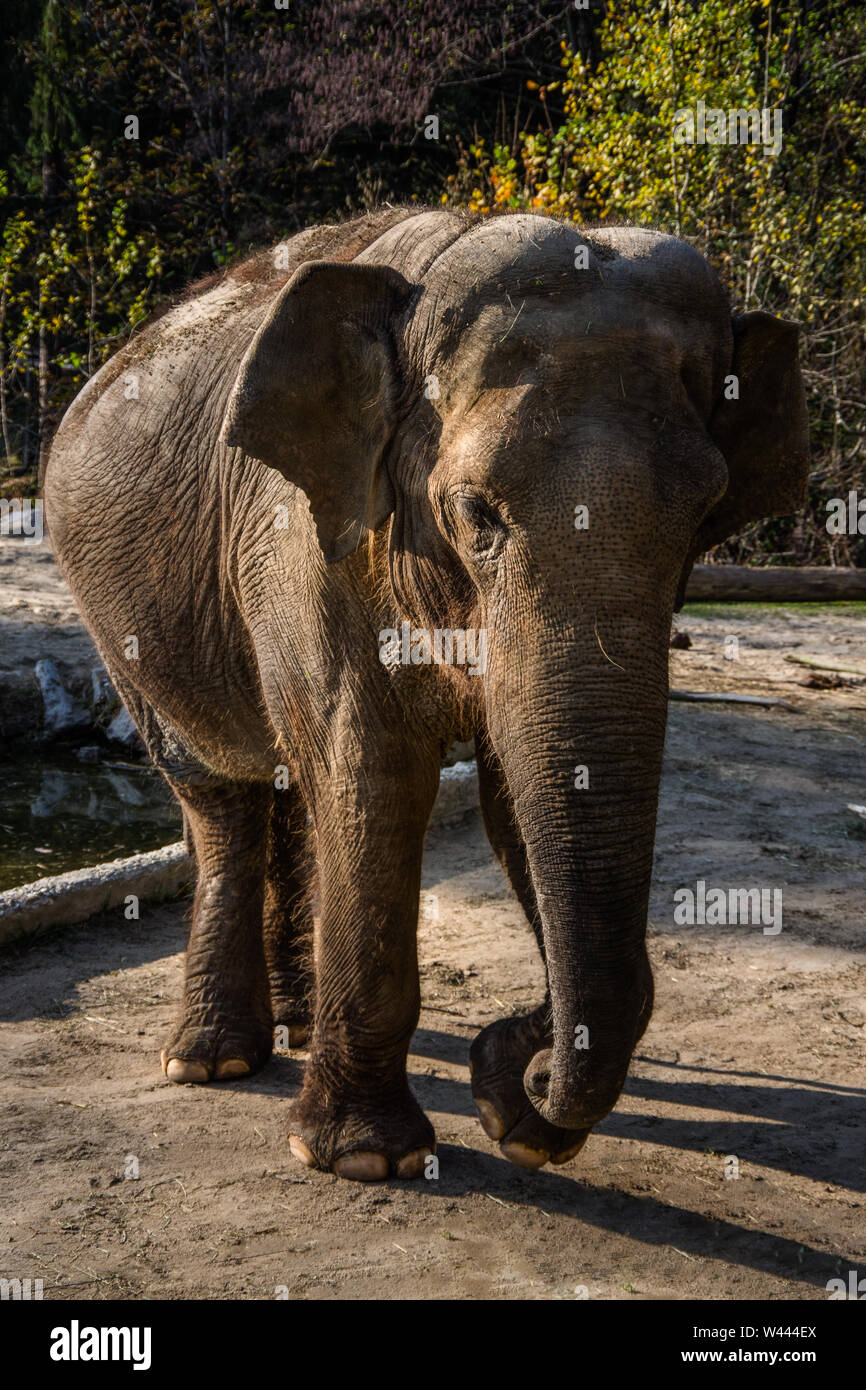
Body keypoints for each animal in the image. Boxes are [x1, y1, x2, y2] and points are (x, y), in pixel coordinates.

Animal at [44, 207, 809, 1181]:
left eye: (707, 515)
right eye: (476, 513)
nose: (521, 1060)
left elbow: (511, 788)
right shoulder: (302, 539)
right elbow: (375, 776)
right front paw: (370, 1160)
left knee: (290, 788)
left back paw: (296, 1027)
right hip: (121, 622)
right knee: (221, 795)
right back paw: (213, 1061)